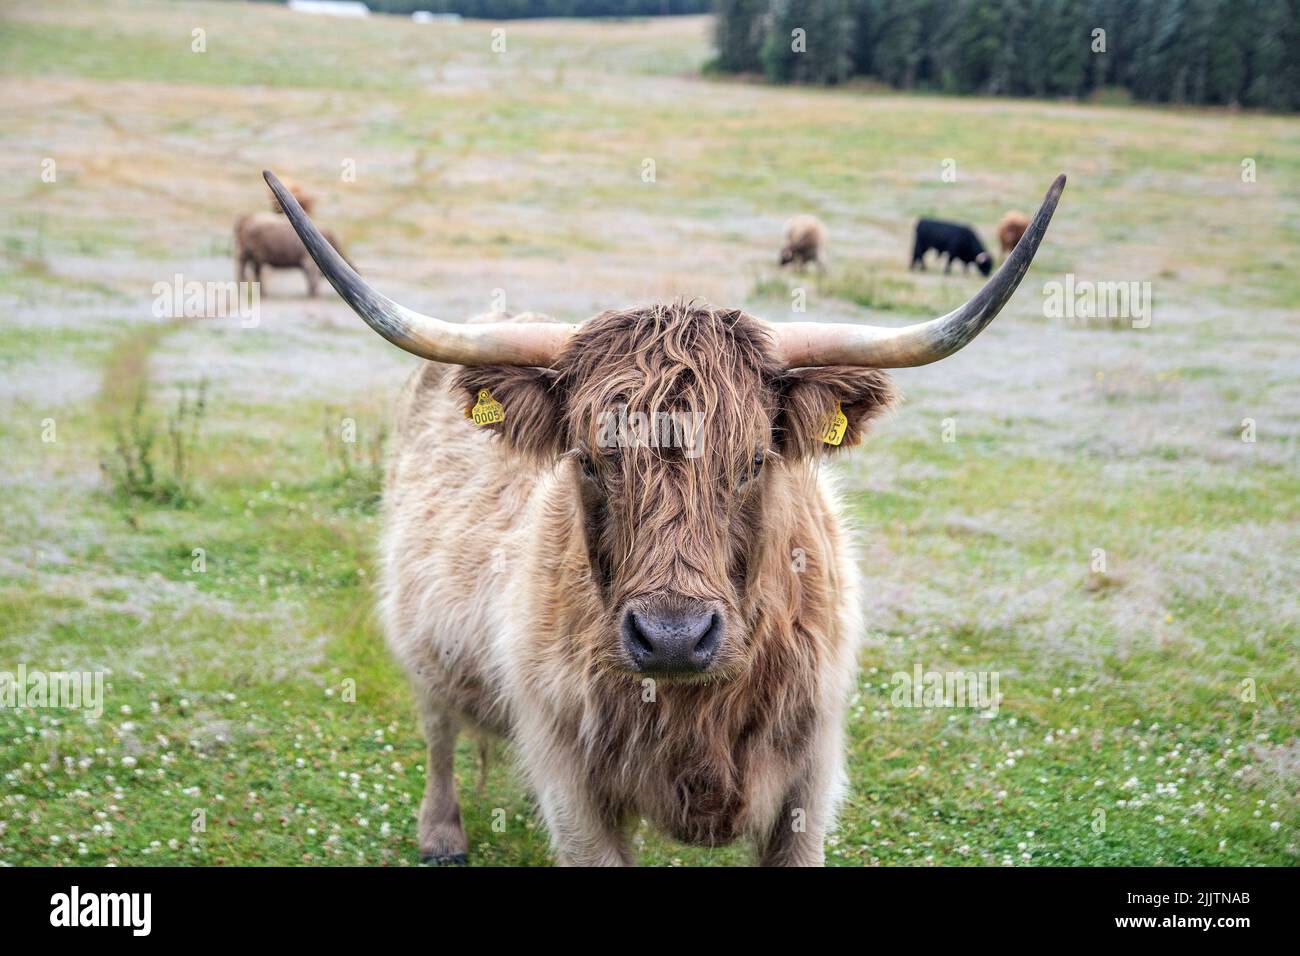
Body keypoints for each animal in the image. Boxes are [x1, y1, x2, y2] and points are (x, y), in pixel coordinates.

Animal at [266, 170, 1065, 866]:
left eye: (753, 462)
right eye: (590, 459)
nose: (674, 637)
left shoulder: (809, 782)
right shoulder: (575, 788)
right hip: (421, 636)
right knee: (438, 730)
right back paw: (441, 837)